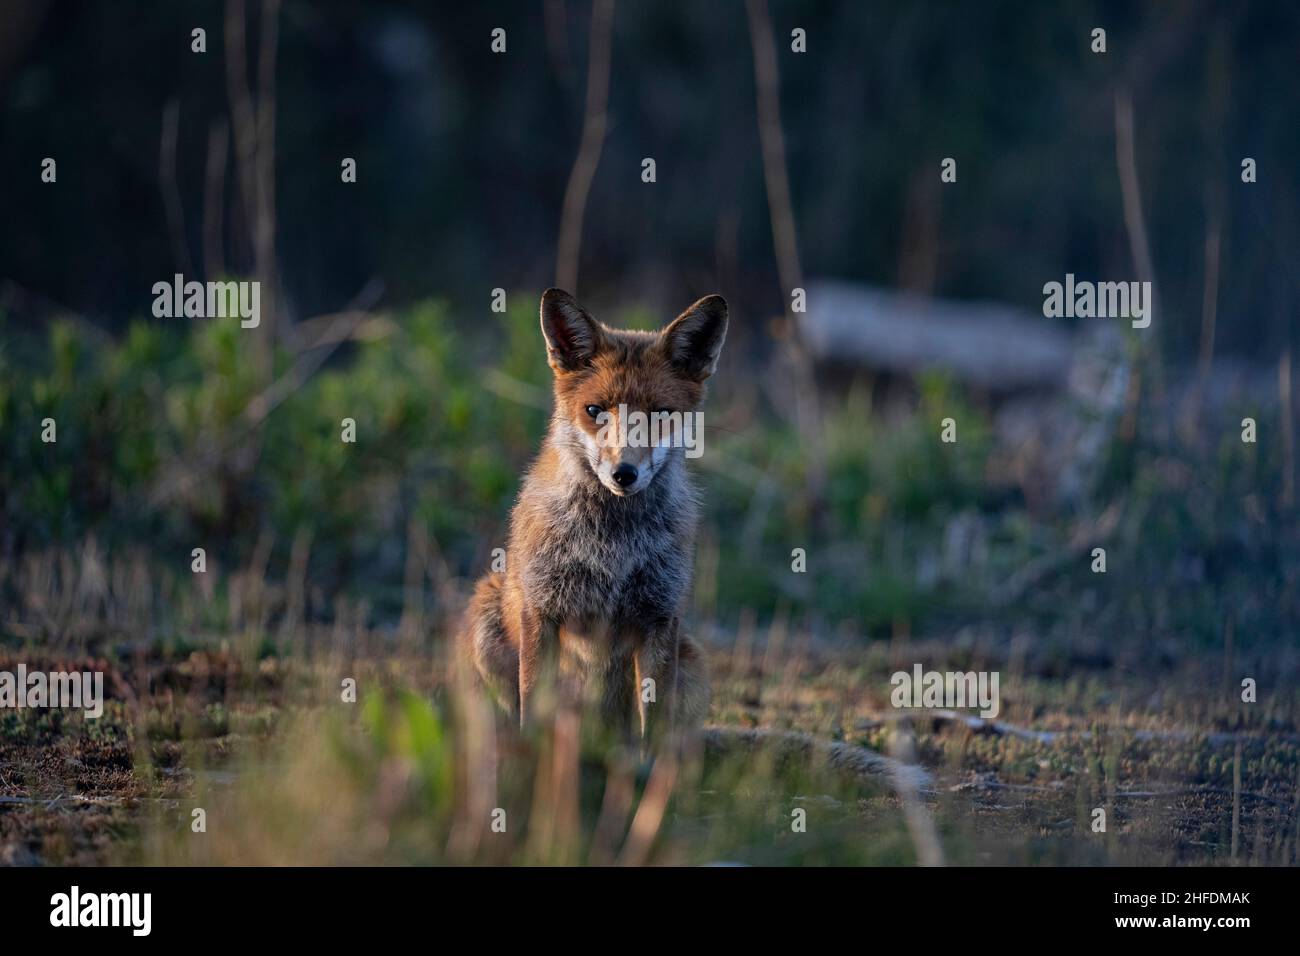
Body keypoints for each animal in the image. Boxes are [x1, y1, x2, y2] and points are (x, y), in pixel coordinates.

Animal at [461, 287, 728, 742]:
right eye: (594, 410)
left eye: (661, 413)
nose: (624, 473)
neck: (612, 545)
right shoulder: (541, 611)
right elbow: (532, 712)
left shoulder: (660, 618)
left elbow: (653, 733)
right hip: (486, 621)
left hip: (692, 665)